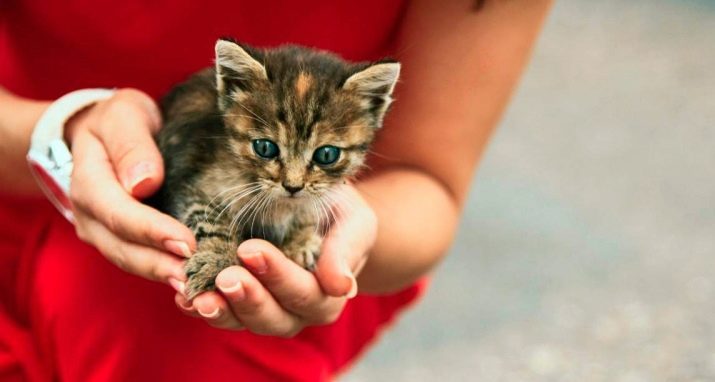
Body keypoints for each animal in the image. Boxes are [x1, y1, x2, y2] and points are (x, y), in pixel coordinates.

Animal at [154, 39, 400, 302]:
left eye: (326, 155)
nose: (293, 186)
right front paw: (216, 260)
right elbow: (209, 217)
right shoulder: (190, 175)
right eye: (264, 148)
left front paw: (301, 239)